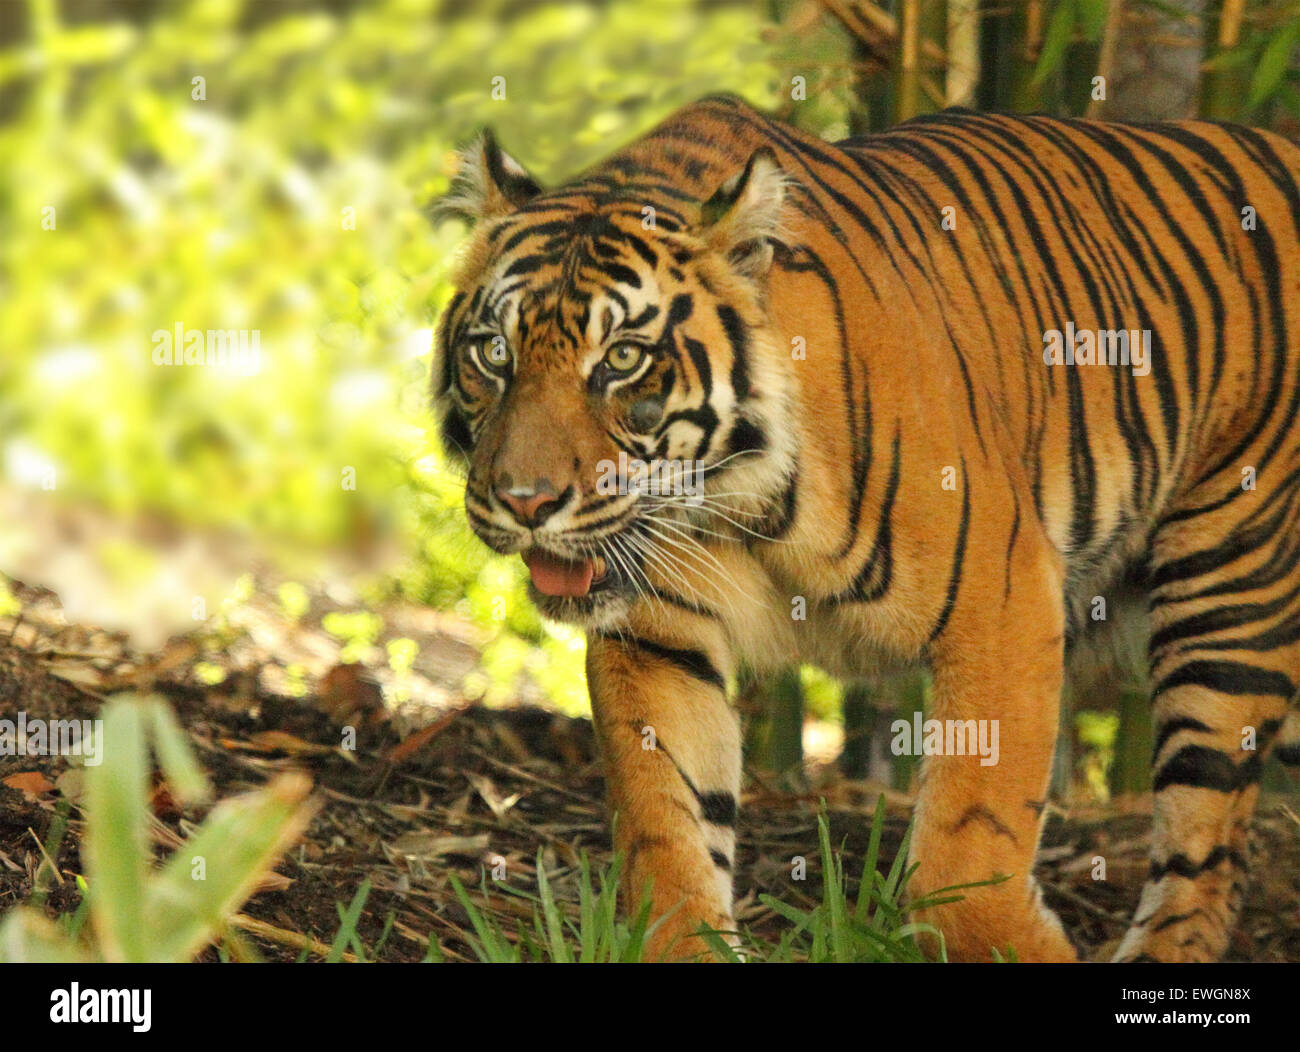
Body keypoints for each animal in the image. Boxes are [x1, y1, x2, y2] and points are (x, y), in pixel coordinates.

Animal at [432, 93, 1300, 962]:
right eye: (494, 353)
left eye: (621, 359)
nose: (525, 502)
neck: (734, 501)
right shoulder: (657, 634)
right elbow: (668, 825)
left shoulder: (1004, 601)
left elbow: (968, 841)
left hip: (1230, 596)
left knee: (1207, 851)